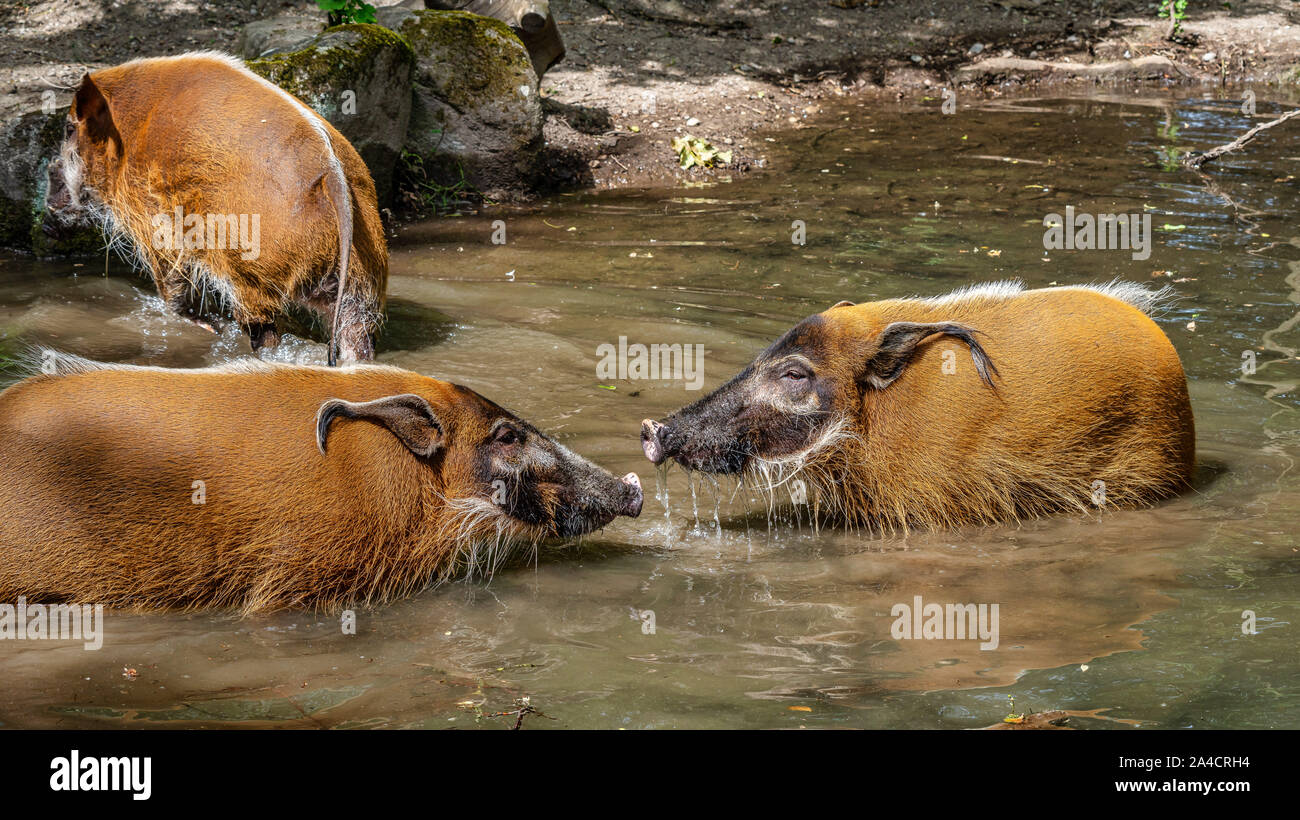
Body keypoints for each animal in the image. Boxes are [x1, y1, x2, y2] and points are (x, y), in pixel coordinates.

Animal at [43, 52, 388, 364]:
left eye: (69, 130)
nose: (47, 217)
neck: (127, 138)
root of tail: (333, 174)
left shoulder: (152, 220)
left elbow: (172, 283)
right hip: (362, 282)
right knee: (355, 339)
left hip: (252, 274)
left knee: (264, 332)